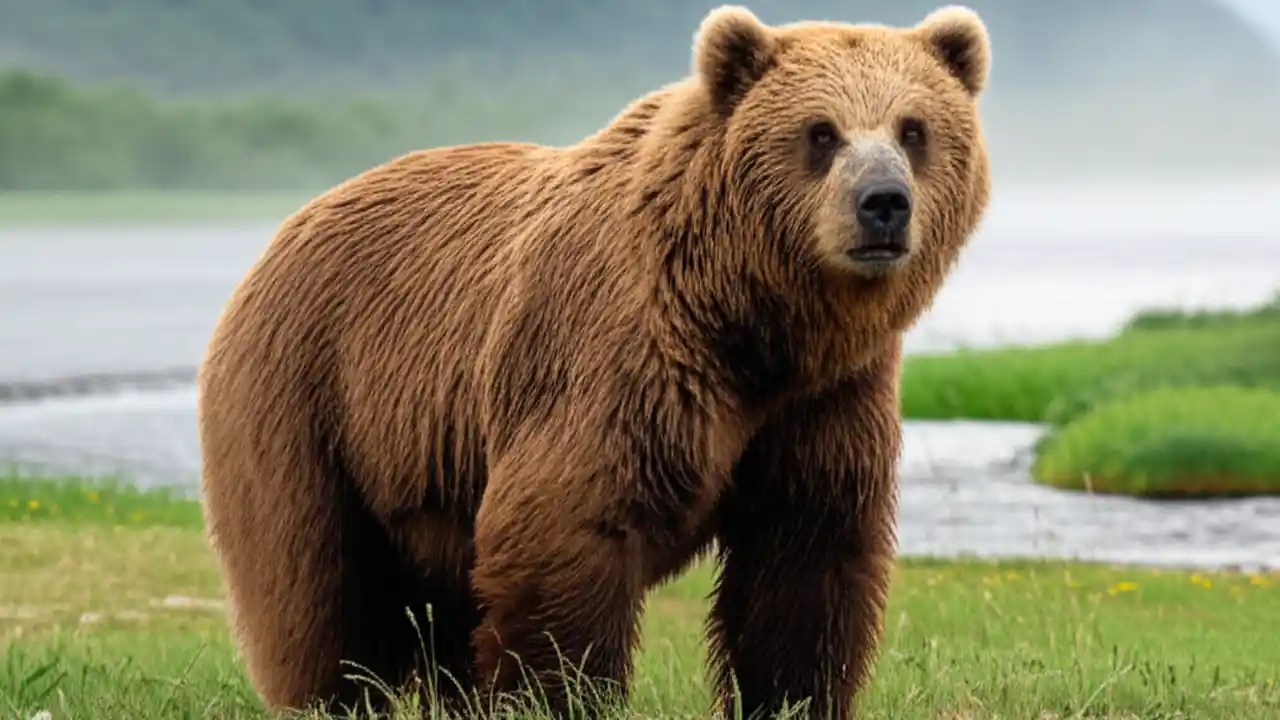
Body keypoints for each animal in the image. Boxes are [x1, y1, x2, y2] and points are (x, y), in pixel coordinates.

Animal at [197, 4, 991, 718]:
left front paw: (793, 697)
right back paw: (337, 693)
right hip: (313, 397)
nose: (883, 203)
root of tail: (285, 229)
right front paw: (563, 693)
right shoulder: (615, 354)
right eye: (821, 132)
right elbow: (567, 521)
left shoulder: (823, 396)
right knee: (319, 582)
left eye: (913, 128)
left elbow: (806, 552)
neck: (749, 320)